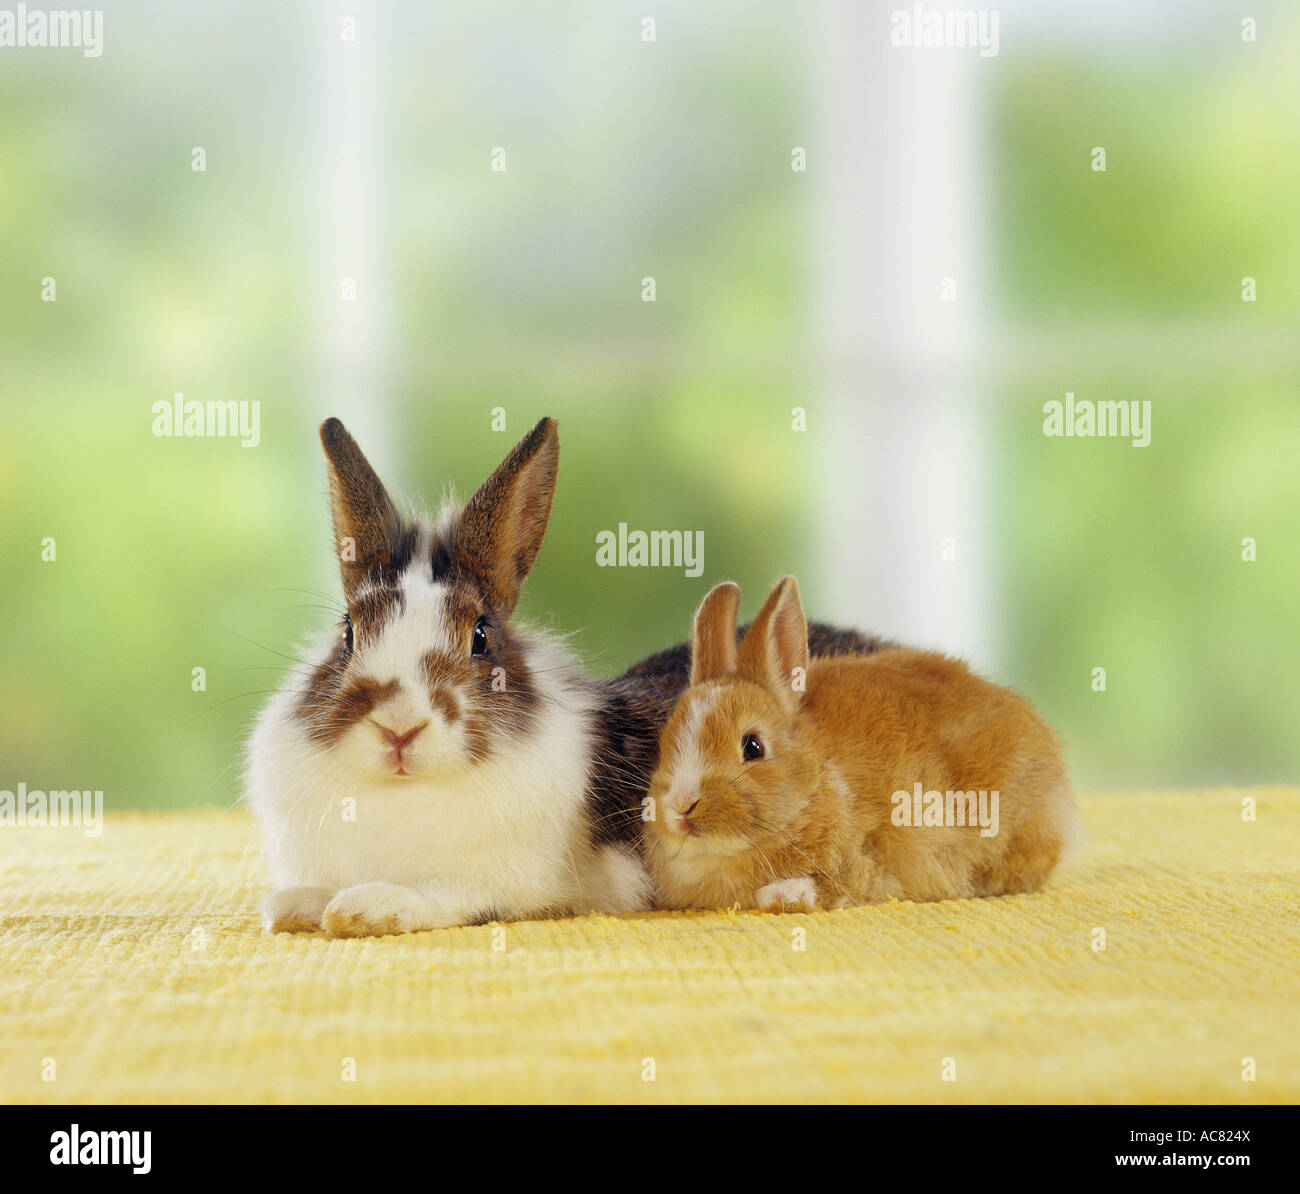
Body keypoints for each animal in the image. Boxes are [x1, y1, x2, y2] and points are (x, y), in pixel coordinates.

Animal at [246, 419, 892, 936]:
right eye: (350, 633)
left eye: (480, 636)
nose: (399, 728)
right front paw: (293, 904)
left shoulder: (518, 881)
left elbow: (451, 892)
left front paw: (369, 907)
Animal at [643, 577, 1079, 913]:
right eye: (666, 741)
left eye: (753, 747)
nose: (681, 806)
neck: (815, 784)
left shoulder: (868, 858)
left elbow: (831, 884)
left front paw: (782, 895)